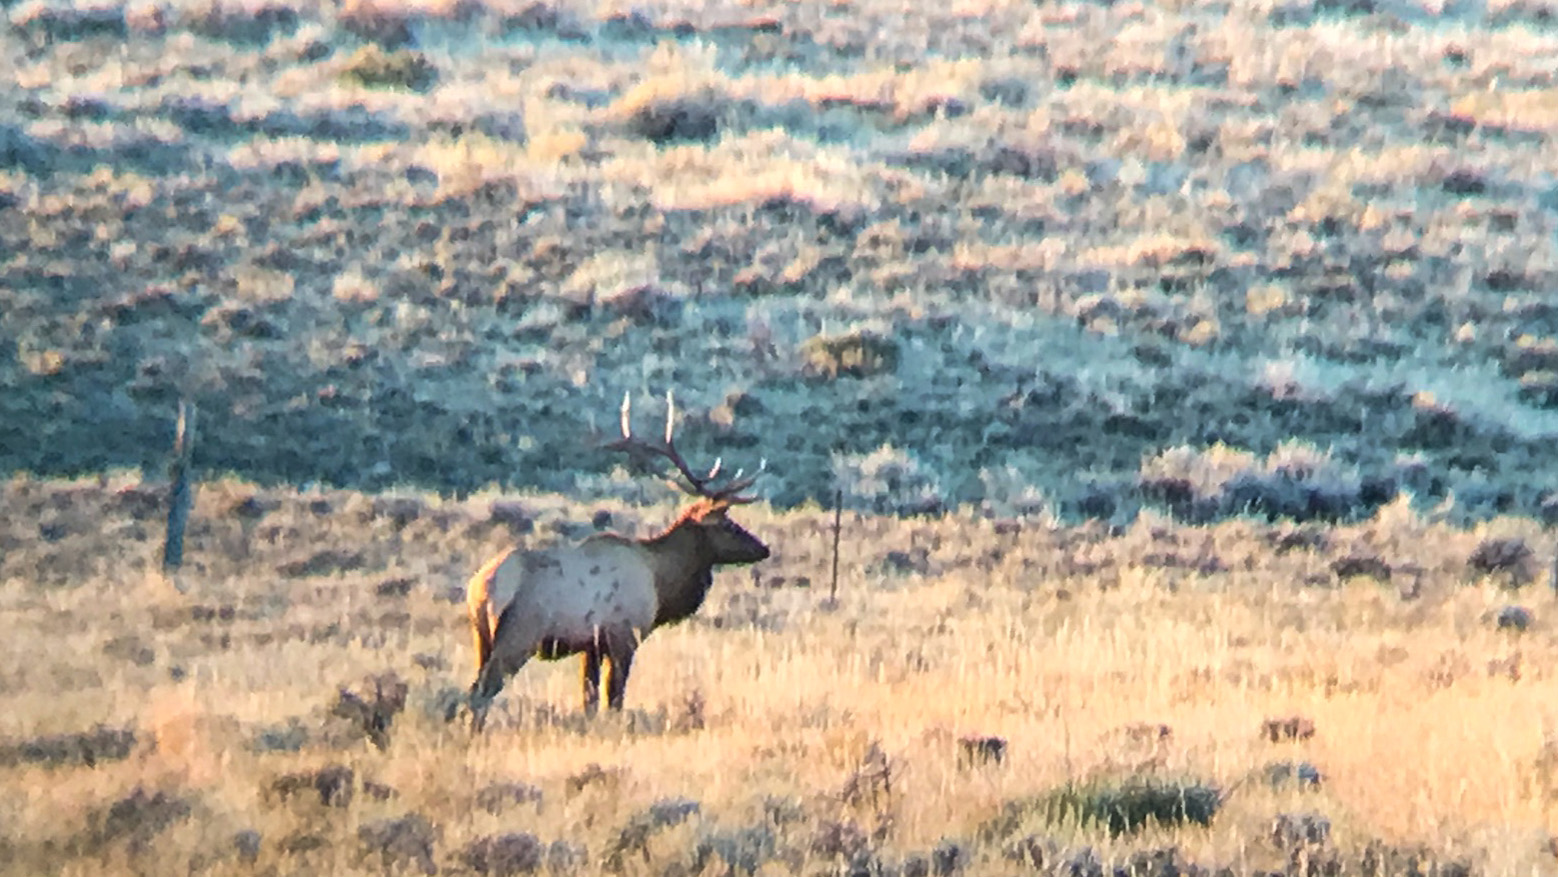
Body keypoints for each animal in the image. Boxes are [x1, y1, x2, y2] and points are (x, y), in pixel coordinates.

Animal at [459, 391, 771, 731]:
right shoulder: (624, 637)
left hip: (480, 636)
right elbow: (615, 699)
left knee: (473, 690)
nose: (764, 548)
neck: (660, 580)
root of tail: (480, 586)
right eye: (728, 525)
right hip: (519, 635)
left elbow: (589, 700)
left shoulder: (591, 646)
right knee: (483, 691)